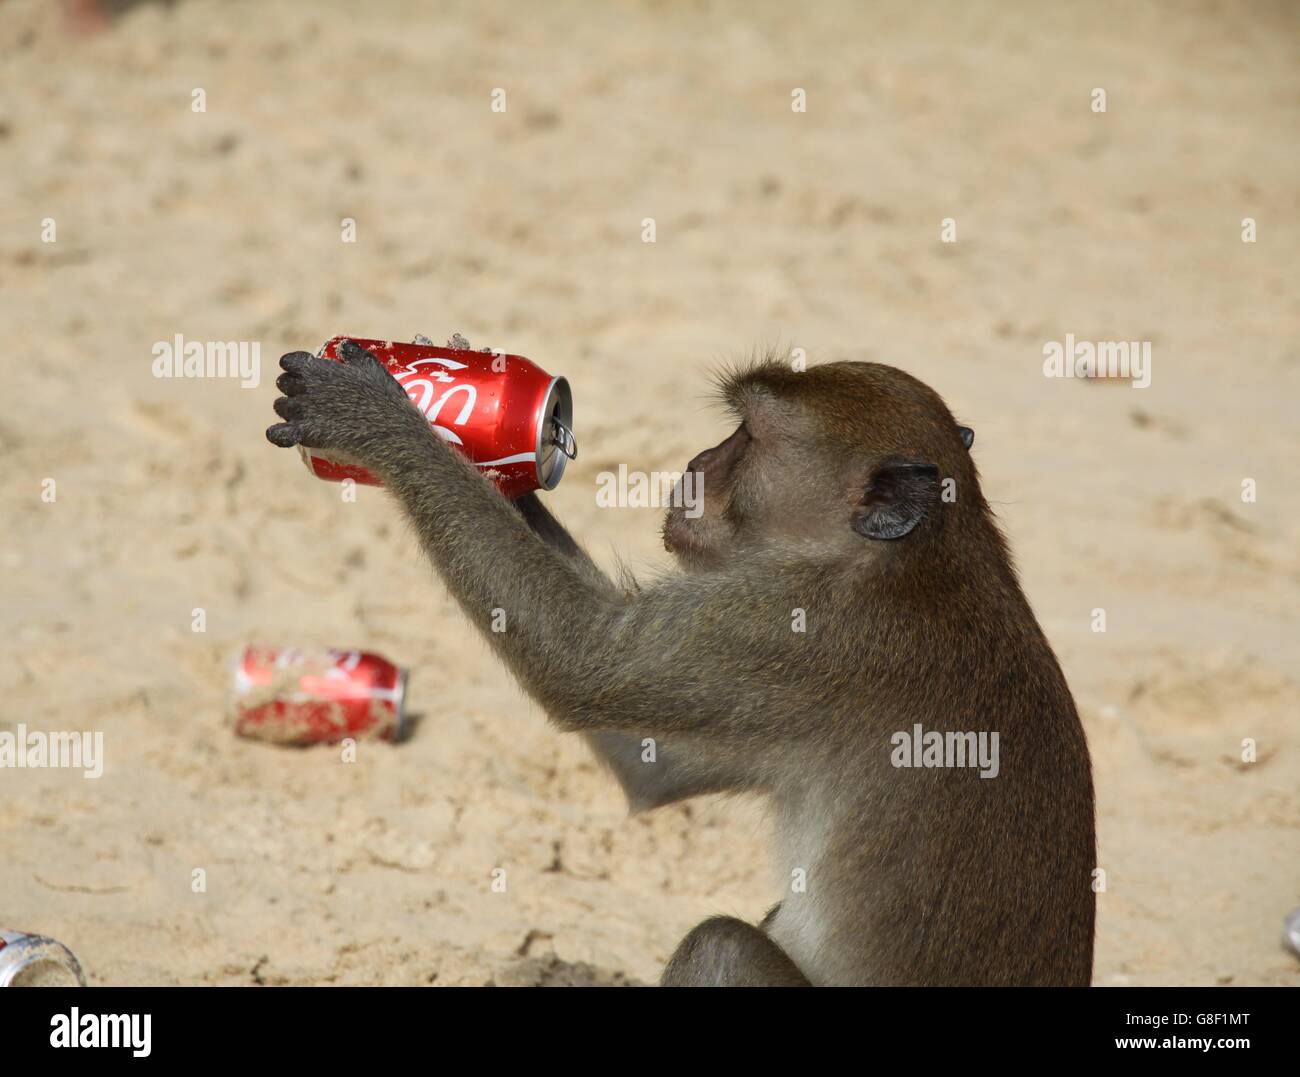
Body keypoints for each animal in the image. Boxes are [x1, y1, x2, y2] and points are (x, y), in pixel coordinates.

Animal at [267, 340, 1096, 987]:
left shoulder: (784, 632)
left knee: (720, 945)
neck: (916, 555)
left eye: (750, 438)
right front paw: (504, 445)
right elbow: (652, 768)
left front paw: (383, 421)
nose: (696, 465)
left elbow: (582, 660)